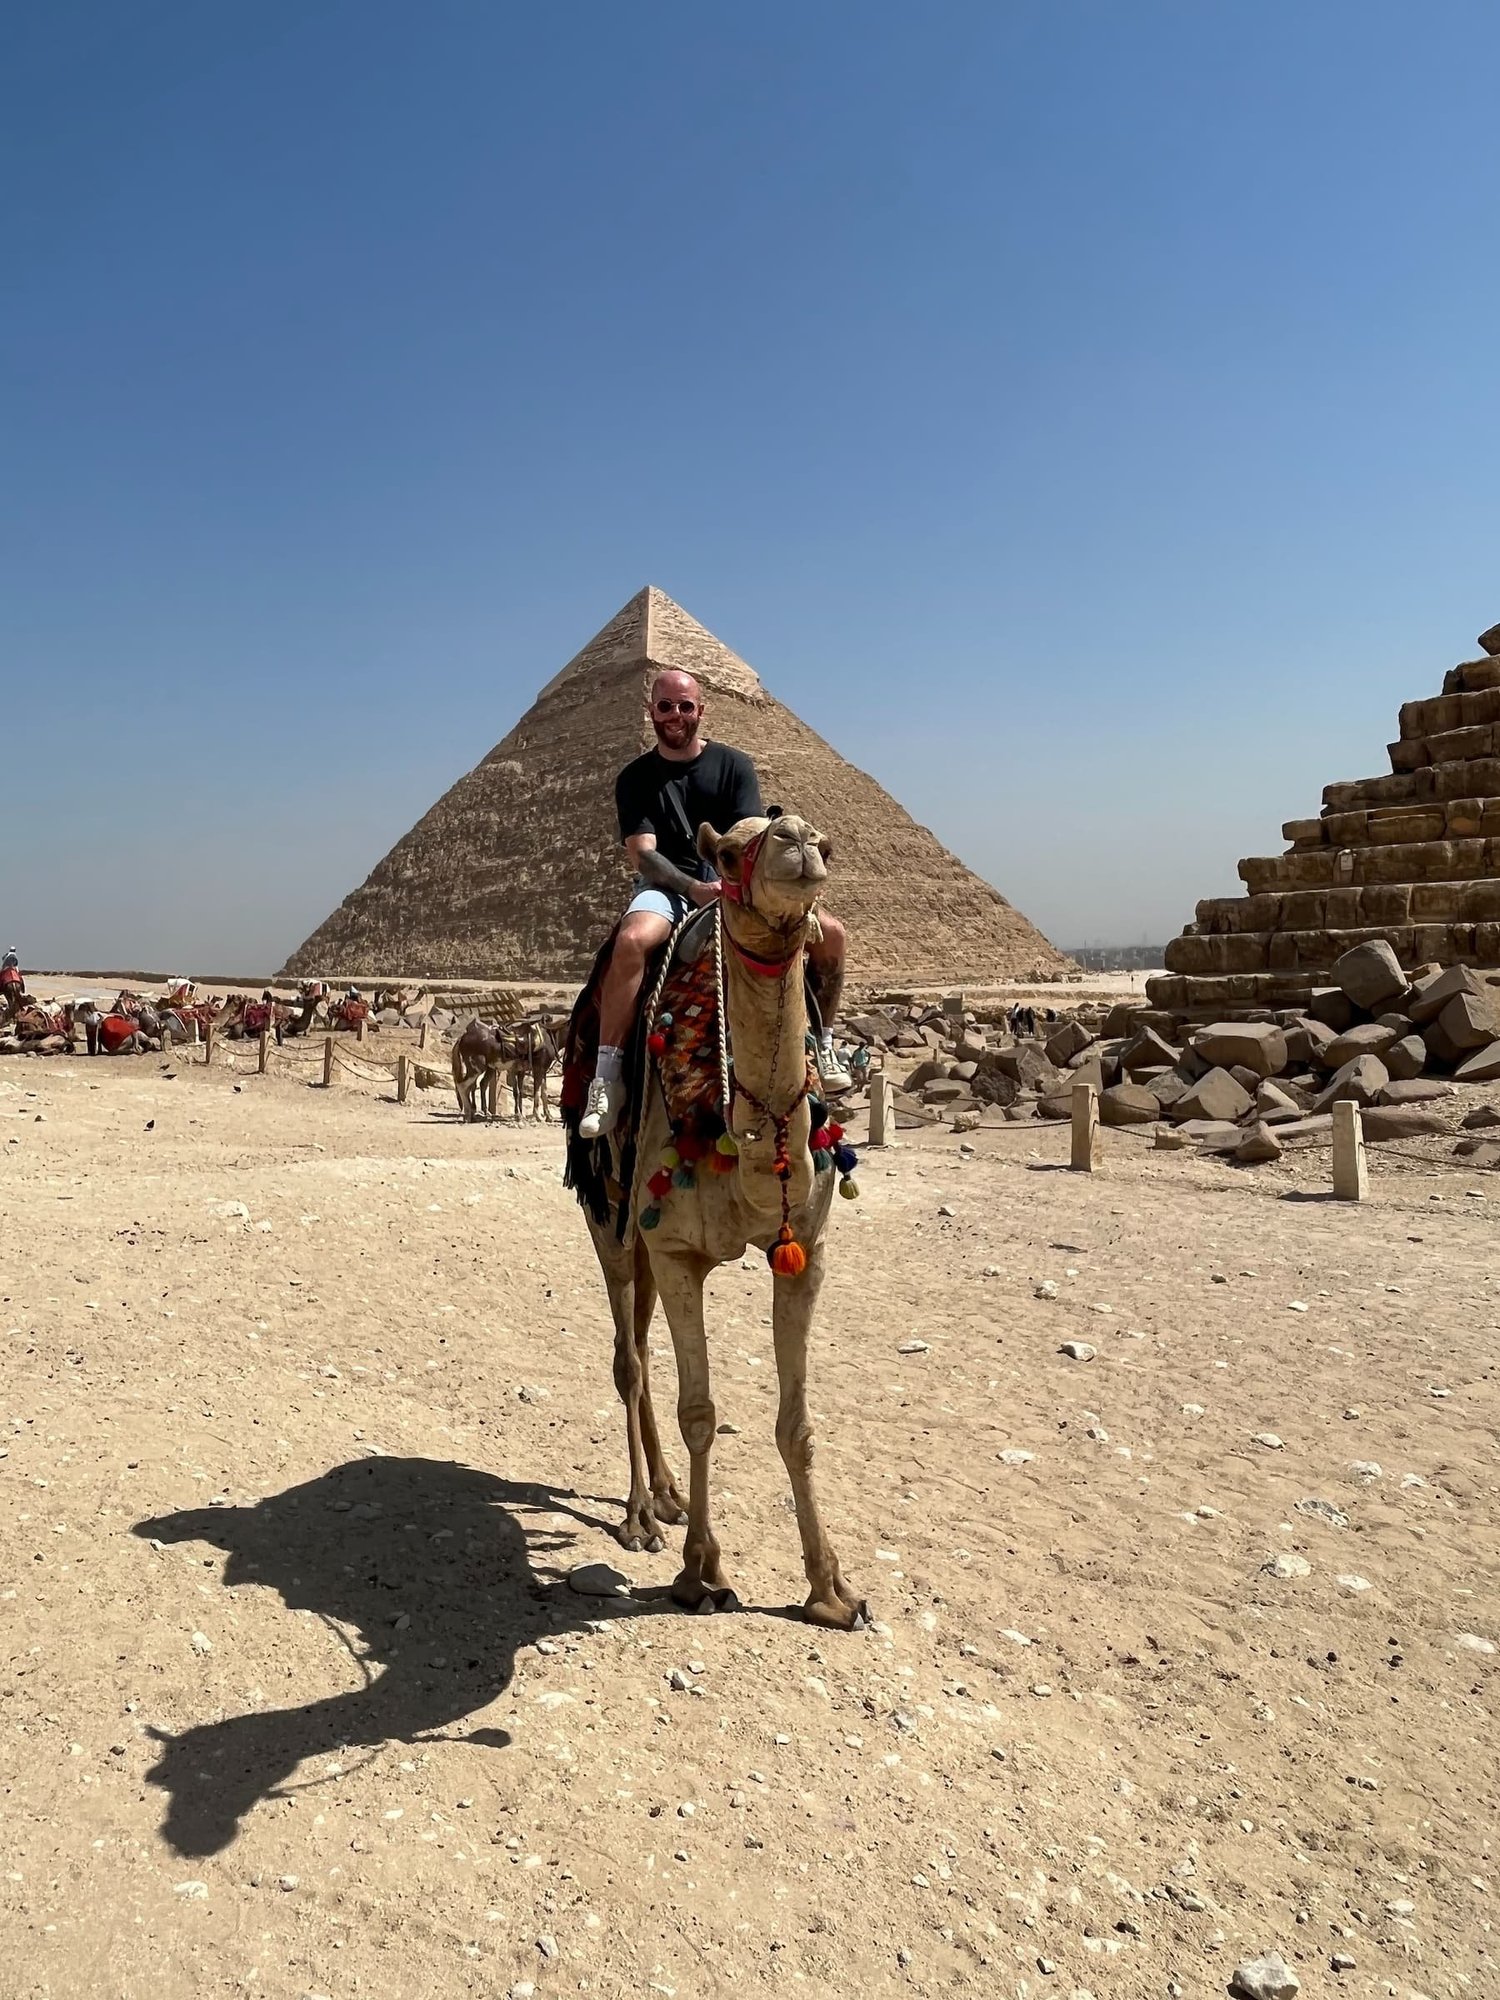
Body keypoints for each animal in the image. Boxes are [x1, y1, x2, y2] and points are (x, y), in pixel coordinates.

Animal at [568, 812, 868, 1631]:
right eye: (729, 855)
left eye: (827, 844)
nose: (798, 841)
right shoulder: (678, 1252)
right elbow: (699, 1409)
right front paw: (701, 1573)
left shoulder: (808, 1251)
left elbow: (797, 1426)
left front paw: (831, 1588)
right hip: (609, 1223)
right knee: (629, 1361)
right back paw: (641, 1513)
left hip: (637, 1239)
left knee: (638, 1347)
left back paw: (668, 1495)